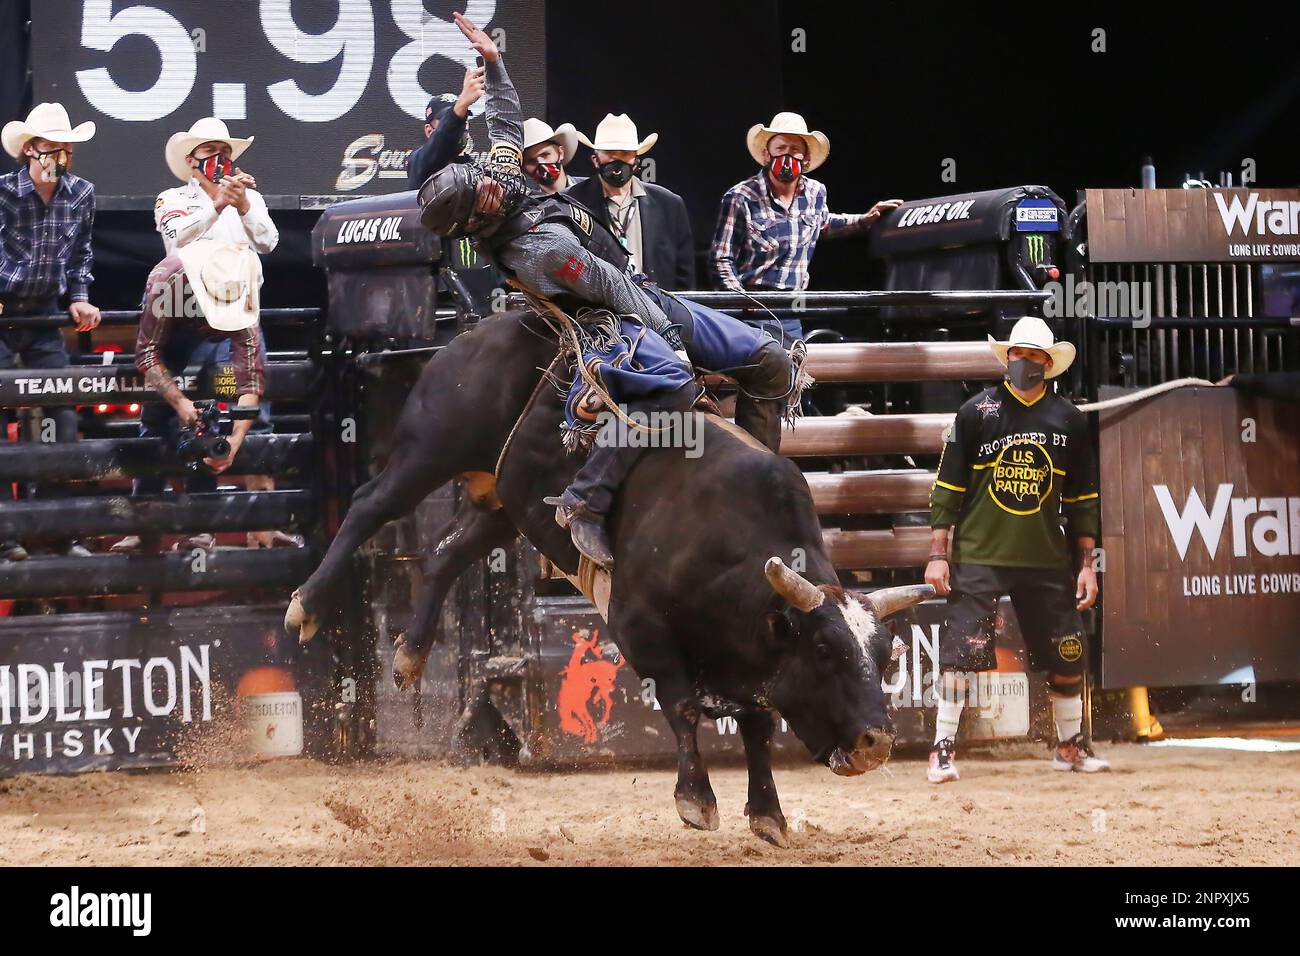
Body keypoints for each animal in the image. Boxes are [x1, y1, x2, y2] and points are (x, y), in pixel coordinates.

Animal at [285, 311, 932, 845]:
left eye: (886, 657)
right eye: (824, 653)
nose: (877, 744)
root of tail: (484, 328)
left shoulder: (747, 651)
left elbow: (756, 722)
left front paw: (768, 813)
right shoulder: (640, 626)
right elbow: (682, 707)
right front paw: (696, 800)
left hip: (507, 503)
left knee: (445, 555)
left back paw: (411, 654)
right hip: (432, 447)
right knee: (369, 507)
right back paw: (307, 605)